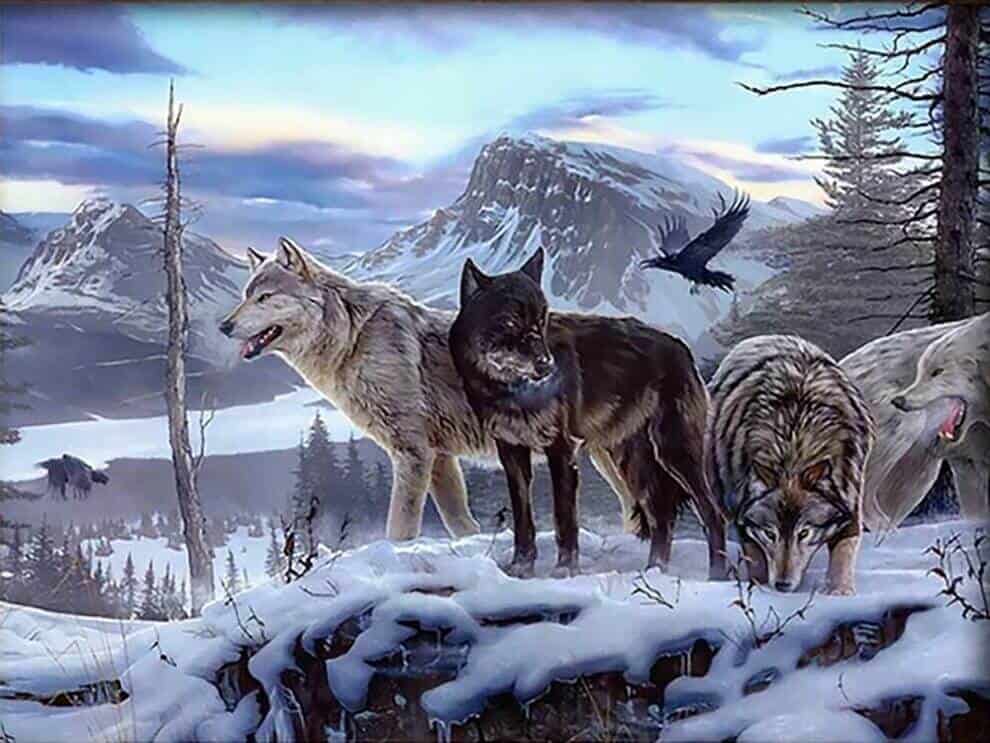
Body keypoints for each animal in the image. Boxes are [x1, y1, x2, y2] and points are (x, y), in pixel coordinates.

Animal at [219, 237, 493, 541]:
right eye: (246, 295)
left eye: (264, 297)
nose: (223, 326)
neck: (353, 336)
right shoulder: (439, 456)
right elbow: (463, 525)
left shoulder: (413, 451)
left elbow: (399, 528)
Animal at [449, 249, 728, 578]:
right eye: (509, 321)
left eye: (541, 319)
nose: (546, 365)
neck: (512, 391)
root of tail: (682, 349)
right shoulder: (512, 453)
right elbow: (523, 520)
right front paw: (521, 568)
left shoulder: (561, 450)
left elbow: (564, 518)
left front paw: (564, 571)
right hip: (634, 464)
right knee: (662, 518)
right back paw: (653, 572)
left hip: (674, 454)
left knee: (712, 513)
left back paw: (716, 576)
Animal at [707, 335, 875, 595]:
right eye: (770, 533)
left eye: (803, 533)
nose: (782, 585)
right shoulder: (744, 515)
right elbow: (756, 559)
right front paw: (759, 588)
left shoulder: (850, 500)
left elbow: (844, 551)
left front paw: (839, 592)